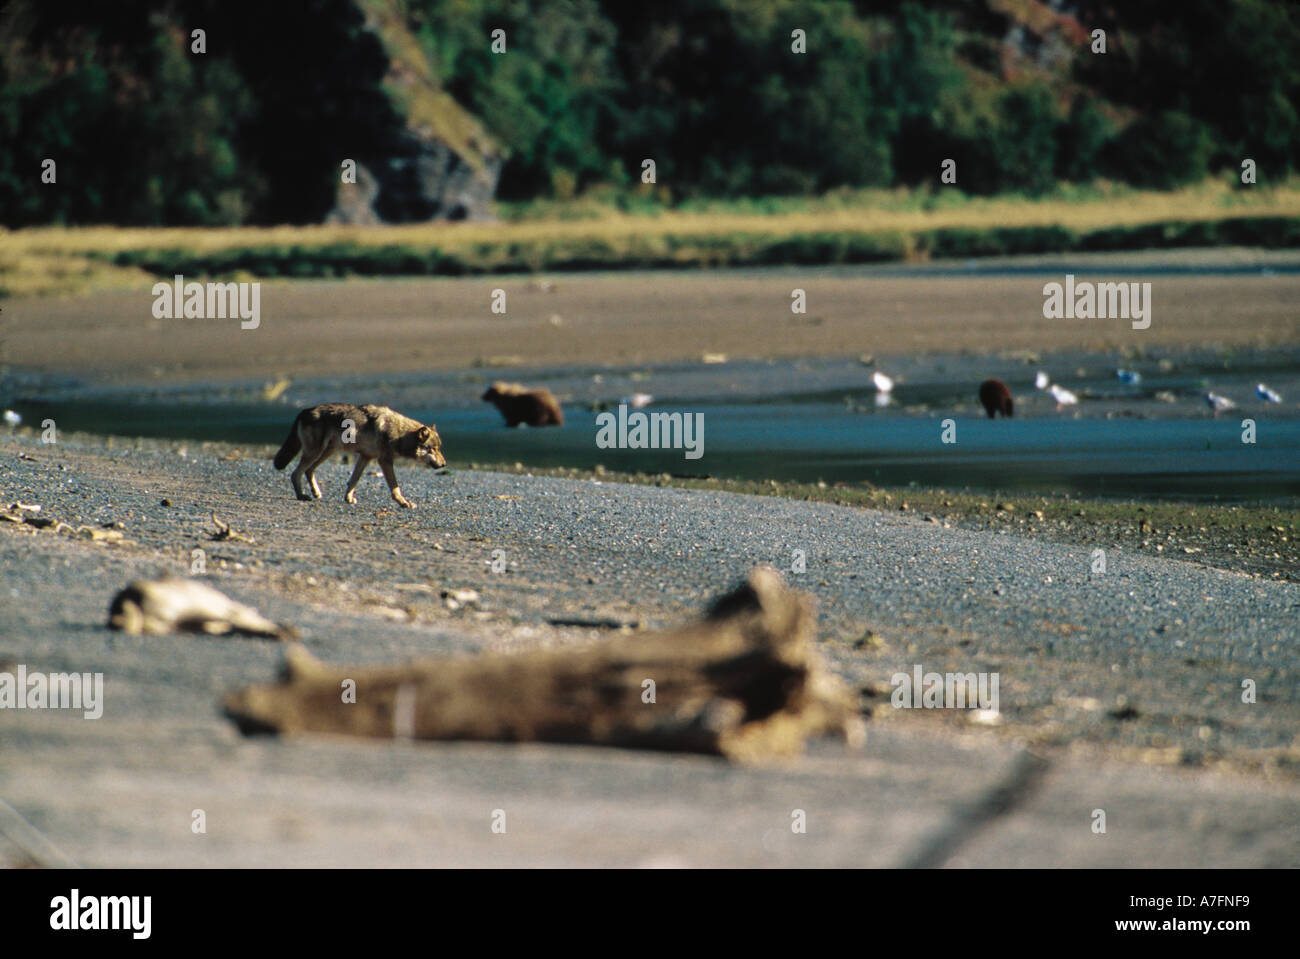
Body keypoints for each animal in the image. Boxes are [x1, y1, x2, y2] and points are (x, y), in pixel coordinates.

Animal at [273, 404, 446, 508]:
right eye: (433, 449)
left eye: (439, 449)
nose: (444, 464)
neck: (400, 433)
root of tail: (304, 410)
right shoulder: (384, 460)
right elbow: (395, 487)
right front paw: (404, 503)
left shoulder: (365, 457)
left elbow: (354, 480)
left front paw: (348, 498)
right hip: (315, 452)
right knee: (296, 473)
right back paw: (301, 495)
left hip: (328, 452)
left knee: (309, 471)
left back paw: (315, 492)